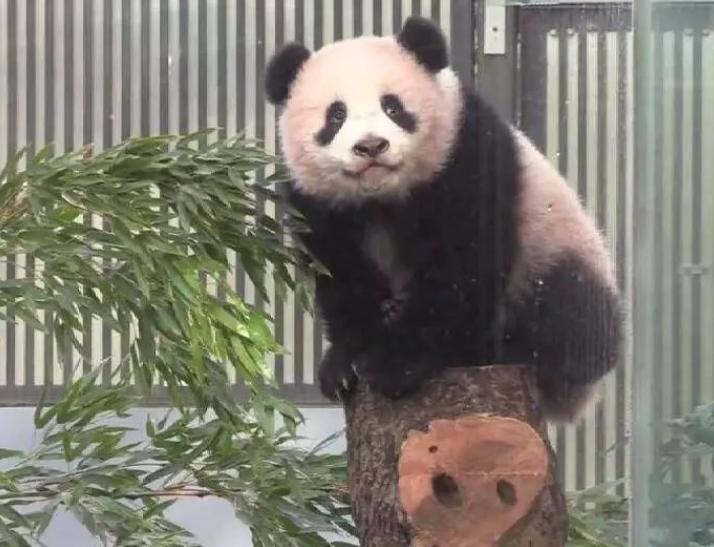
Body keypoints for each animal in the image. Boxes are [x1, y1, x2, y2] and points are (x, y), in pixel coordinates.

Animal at [265, 16, 624, 420]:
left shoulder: (466, 158)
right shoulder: (319, 206)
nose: (371, 146)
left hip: (556, 249)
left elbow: (460, 268)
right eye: (336, 115)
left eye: (393, 107)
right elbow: (342, 276)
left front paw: (394, 366)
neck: (382, 197)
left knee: (572, 317)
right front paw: (343, 366)